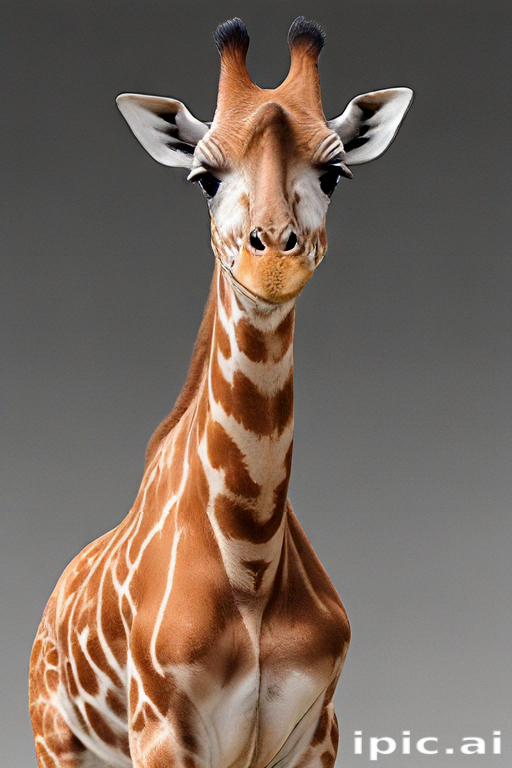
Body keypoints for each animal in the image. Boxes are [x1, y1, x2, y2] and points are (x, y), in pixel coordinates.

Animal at [29, 18, 413, 768]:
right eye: (204, 179)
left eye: (334, 174)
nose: (273, 262)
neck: (251, 557)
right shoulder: (163, 731)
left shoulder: (316, 730)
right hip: (55, 736)